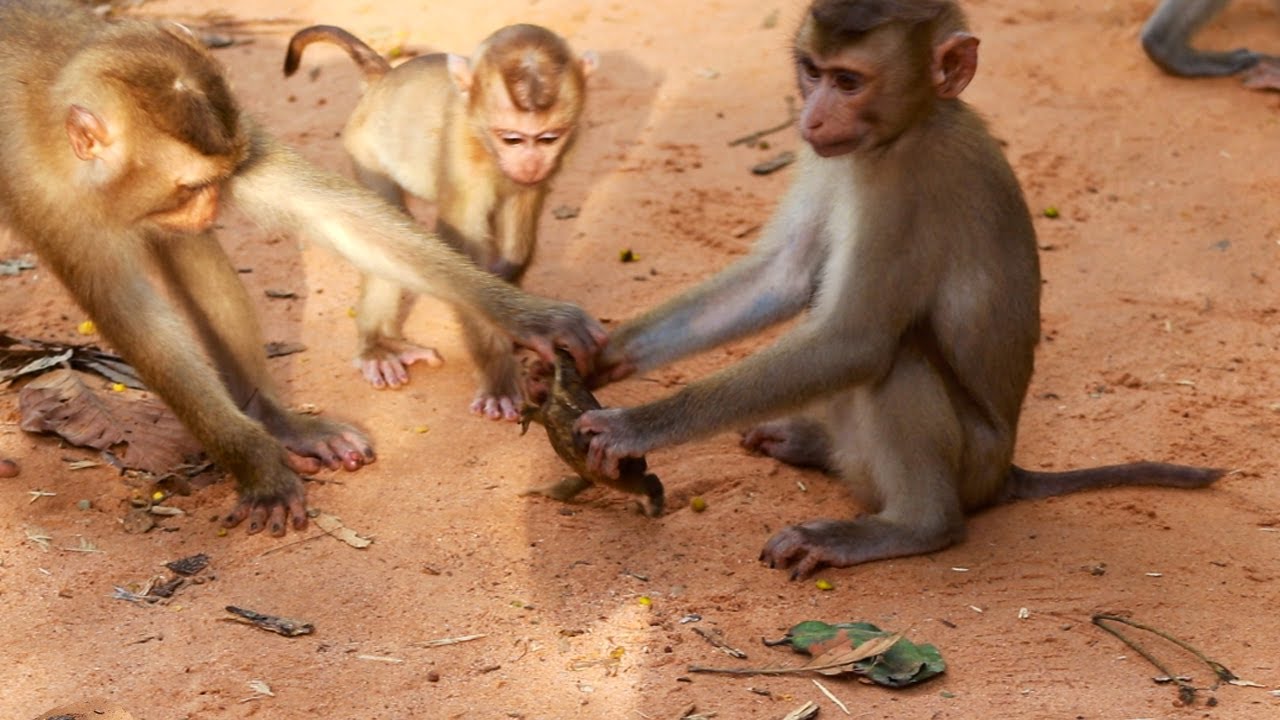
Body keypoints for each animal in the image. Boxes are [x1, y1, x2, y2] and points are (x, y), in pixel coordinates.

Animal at [284, 24, 597, 420]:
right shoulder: (463, 149)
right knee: (385, 231)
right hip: (362, 147)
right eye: (511, 138)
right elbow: (458, 249)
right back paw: (378, 345)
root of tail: (384, 78)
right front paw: (498, 376)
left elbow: (518, 231)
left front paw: (512, 305)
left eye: (548, 138)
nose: (529, 163)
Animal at [574, 0, 1224, 578]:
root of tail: (1006, 471)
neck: (912, 127)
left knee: (896, 358)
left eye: (849, 80)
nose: (810, 118)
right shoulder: (829, 157)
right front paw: (588, 352)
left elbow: (853, 341)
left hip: (973, 465)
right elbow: (783, 275)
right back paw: (816, 444)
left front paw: (633, 424)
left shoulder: (908, 188)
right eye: (812, 70)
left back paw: (913, 526)